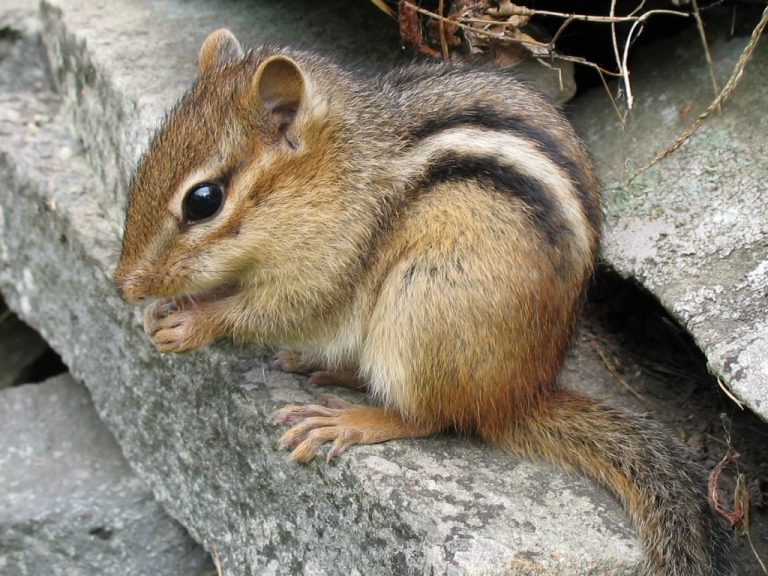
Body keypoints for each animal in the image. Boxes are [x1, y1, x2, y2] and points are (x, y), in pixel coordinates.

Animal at [113, 28, 732, 575]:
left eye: (204, 200)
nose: (123, 286)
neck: (334, 170)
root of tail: (520, 394)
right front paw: (162, 311)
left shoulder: (330, 260)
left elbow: (284, 309)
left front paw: (195, 321)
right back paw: (330, 369)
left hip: (422, 307)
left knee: (434, 417)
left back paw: (353, 419)